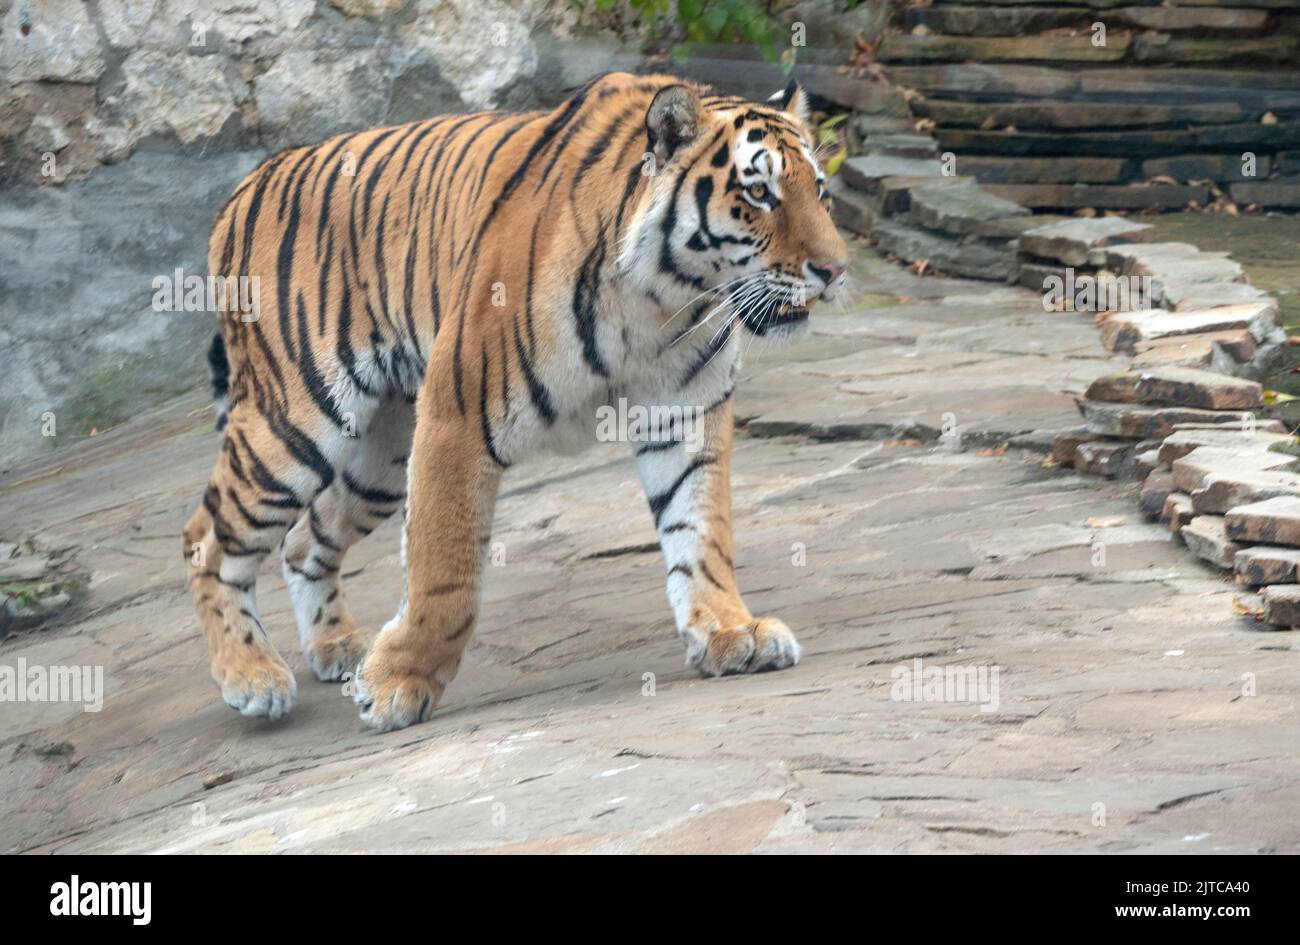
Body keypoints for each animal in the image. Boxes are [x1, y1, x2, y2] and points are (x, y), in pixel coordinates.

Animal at [182, 71, 849, 731]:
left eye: (820, 190)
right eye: (759, 193)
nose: (836, 270)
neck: (664, 302)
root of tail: (244, 187)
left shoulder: (684, 412)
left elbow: (701, 530)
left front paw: (731, 630)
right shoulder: (456, 415)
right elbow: (444, 571)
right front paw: (399, 683)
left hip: (382, 457)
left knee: (303, 538)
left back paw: (337, 647)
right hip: (297, 421)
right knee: (206, 537)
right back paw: (252, 676)